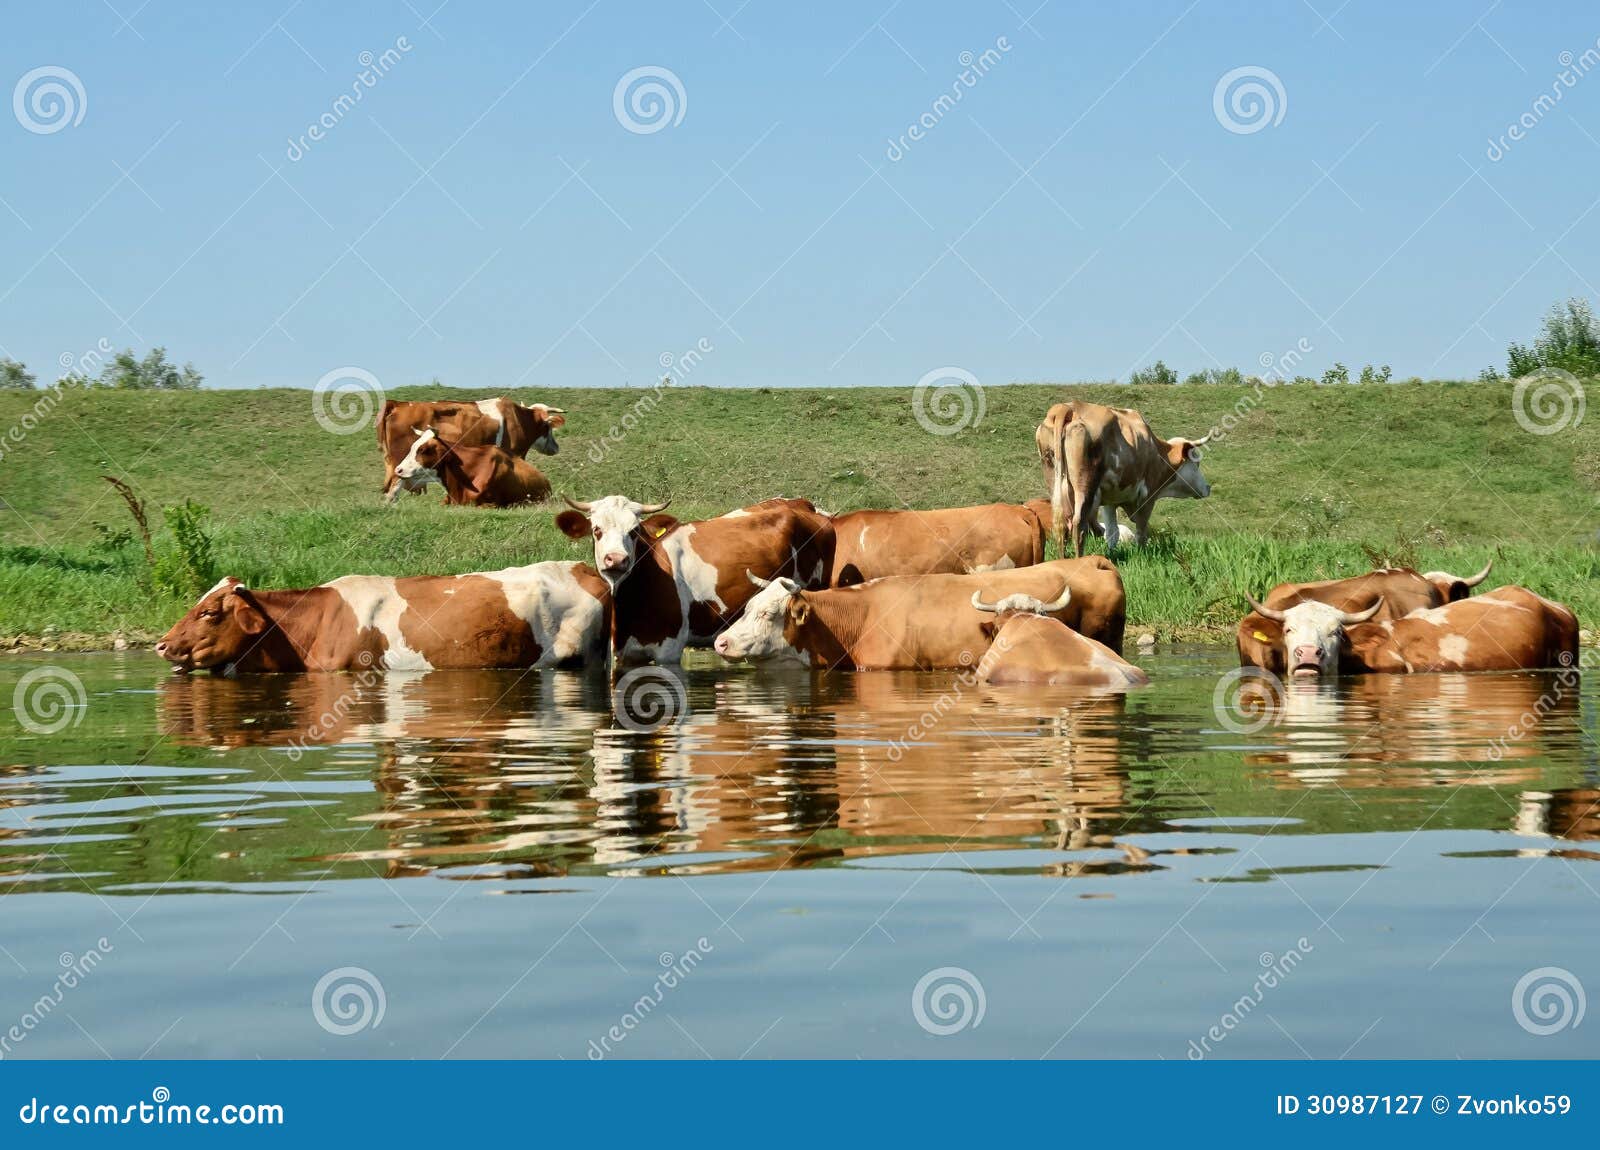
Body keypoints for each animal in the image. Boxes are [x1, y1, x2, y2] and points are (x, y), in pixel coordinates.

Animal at [555, 494, 837, 664]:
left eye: (634, 531)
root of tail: (801, 503)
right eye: (597, 530)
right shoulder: (621, 652)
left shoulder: (669, 650)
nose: (616, 559)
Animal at [1035, 401, 1211, 556]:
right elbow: (1141, 531)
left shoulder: (1110, 500)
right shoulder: (1147, 495)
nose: (1208, 488)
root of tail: (1065, 407)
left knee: (1061, 526)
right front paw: (1142, 555)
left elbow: (1112, 533)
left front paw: (1113, 554)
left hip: (1054, 481)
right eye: (1196, 462)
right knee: (1079, 524)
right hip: (1084, 485)